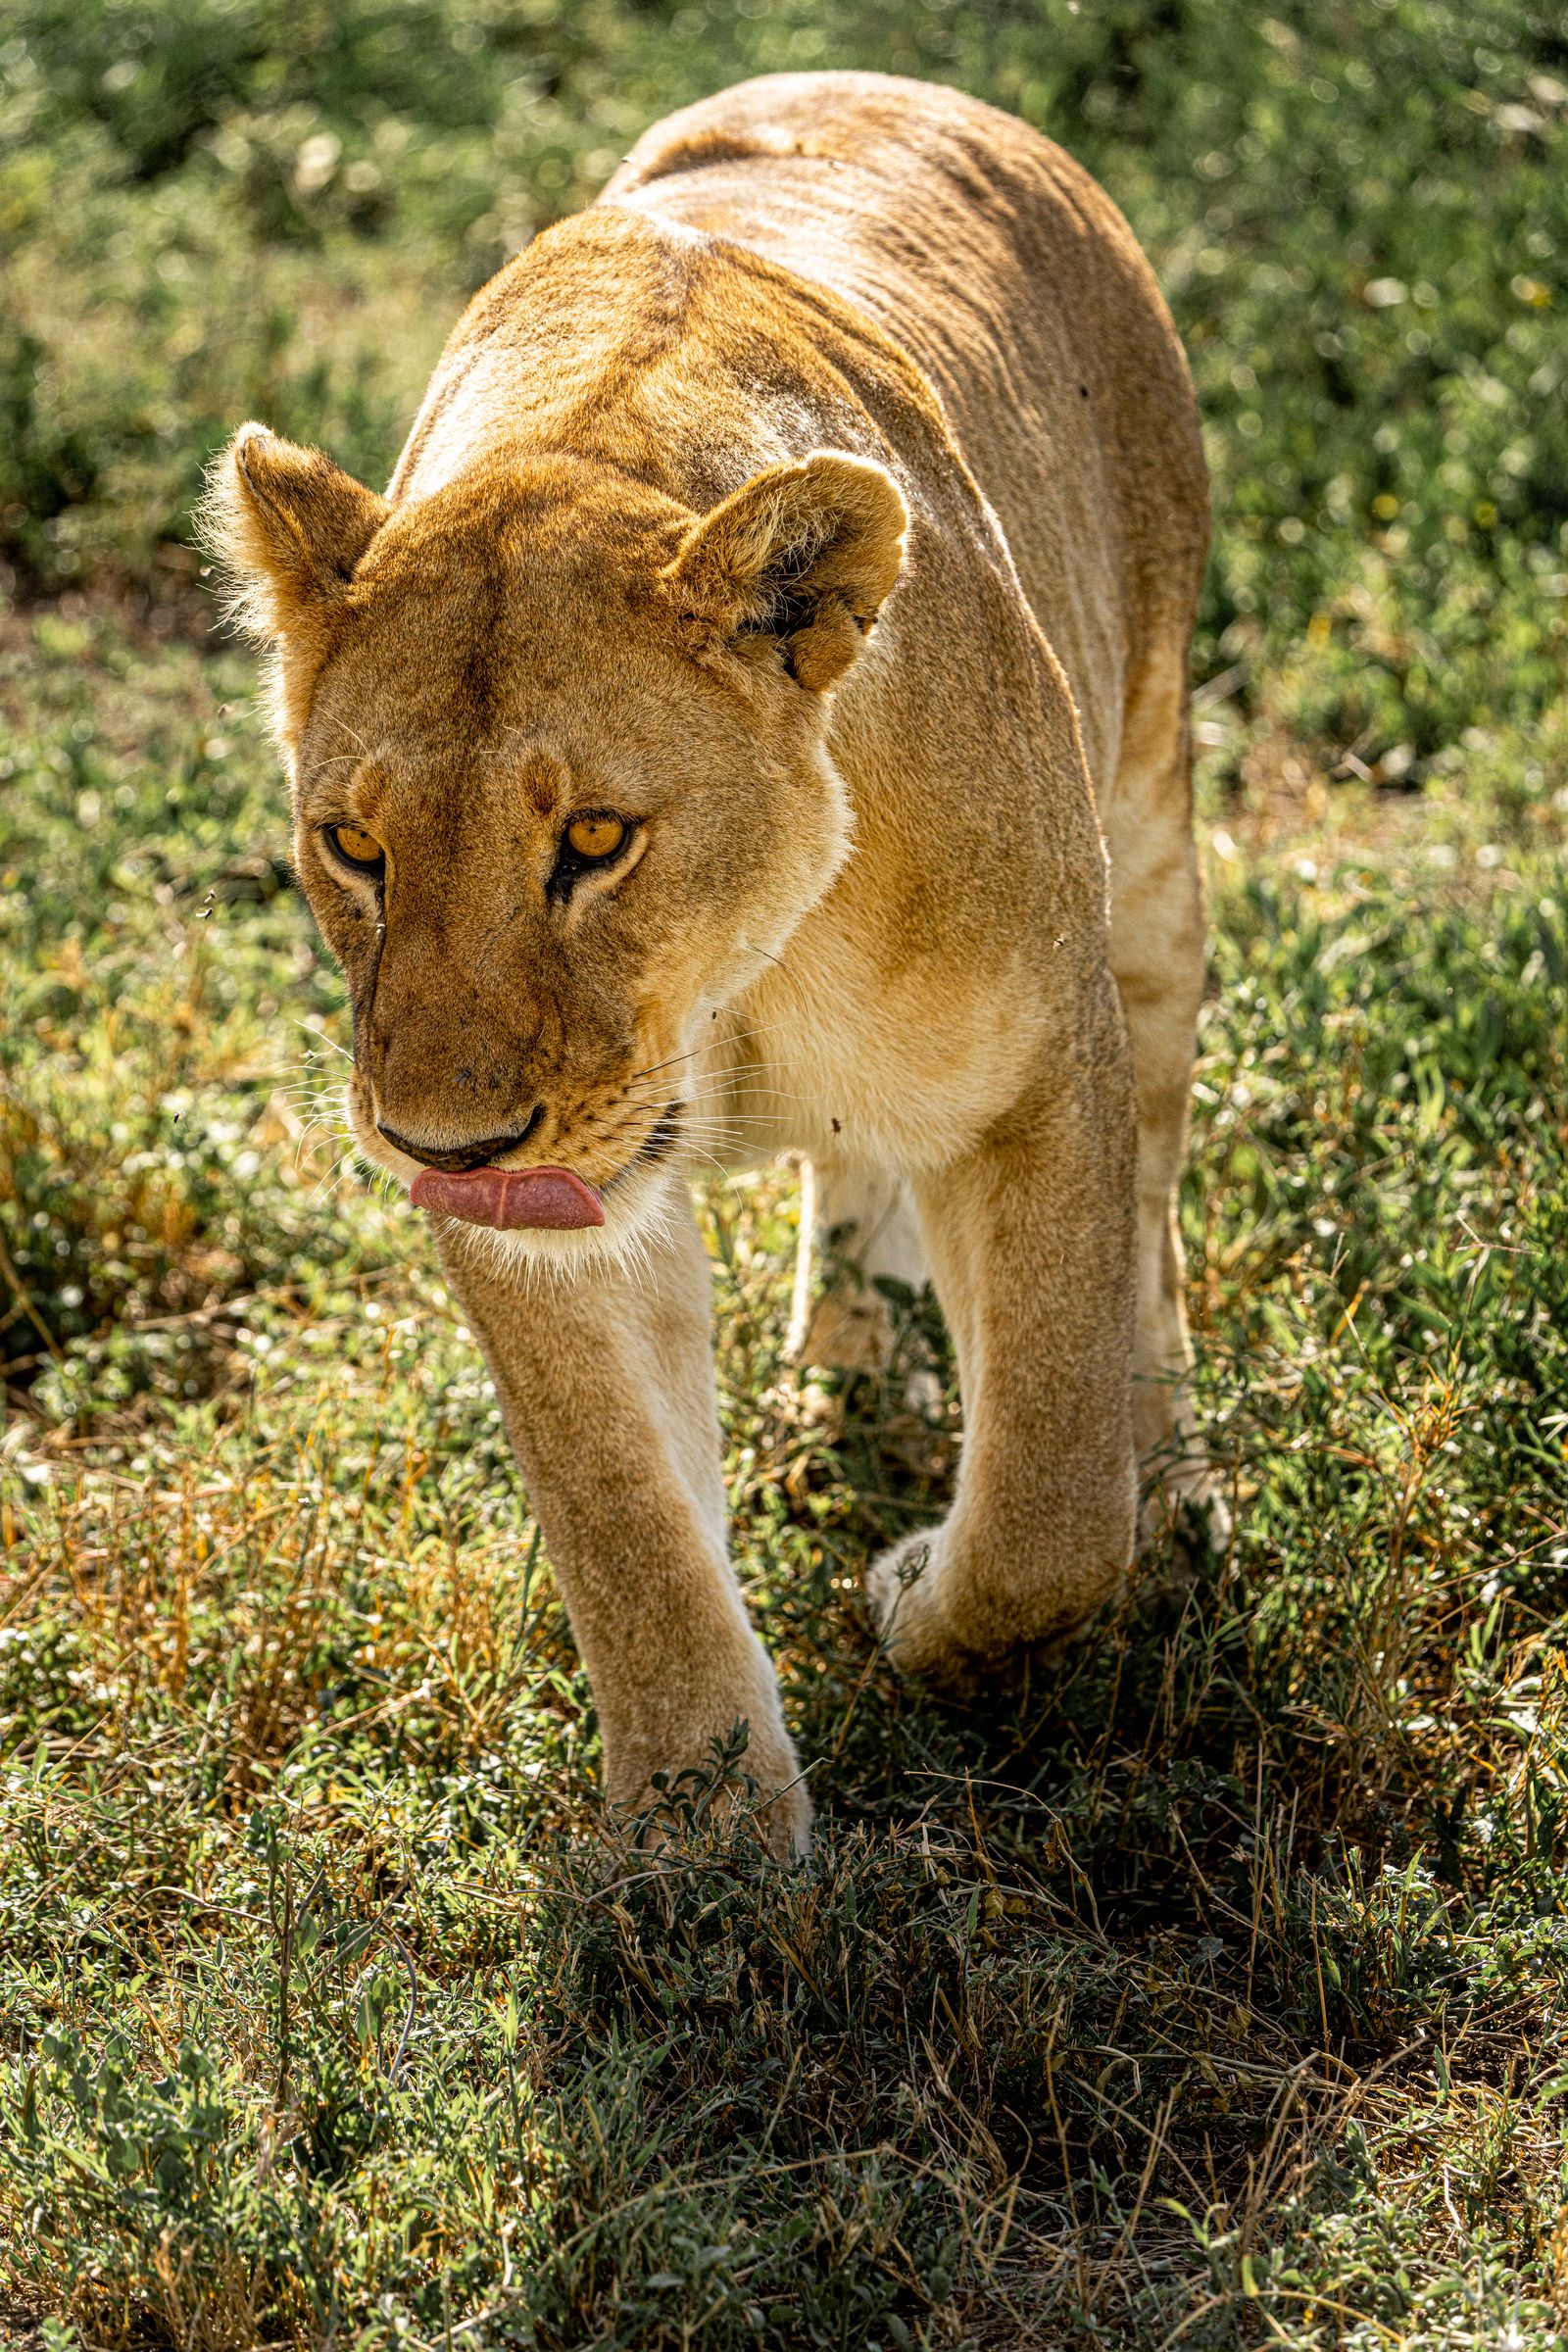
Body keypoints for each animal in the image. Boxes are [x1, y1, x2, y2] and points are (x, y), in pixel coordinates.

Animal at [207, 71, 1220, 1855]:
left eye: (598, 839)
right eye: (356, 847)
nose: (446, 1146)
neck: (734, 986)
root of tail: (909, 84)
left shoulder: (1043, 1075)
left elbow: (1048, 1496)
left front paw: (918, 1603)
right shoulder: (546, 1229)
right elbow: (624, 1524)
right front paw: (707, 1851)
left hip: (1155, 839)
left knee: (1155, 1215)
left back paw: (1173, 1484)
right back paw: (839, 1376)